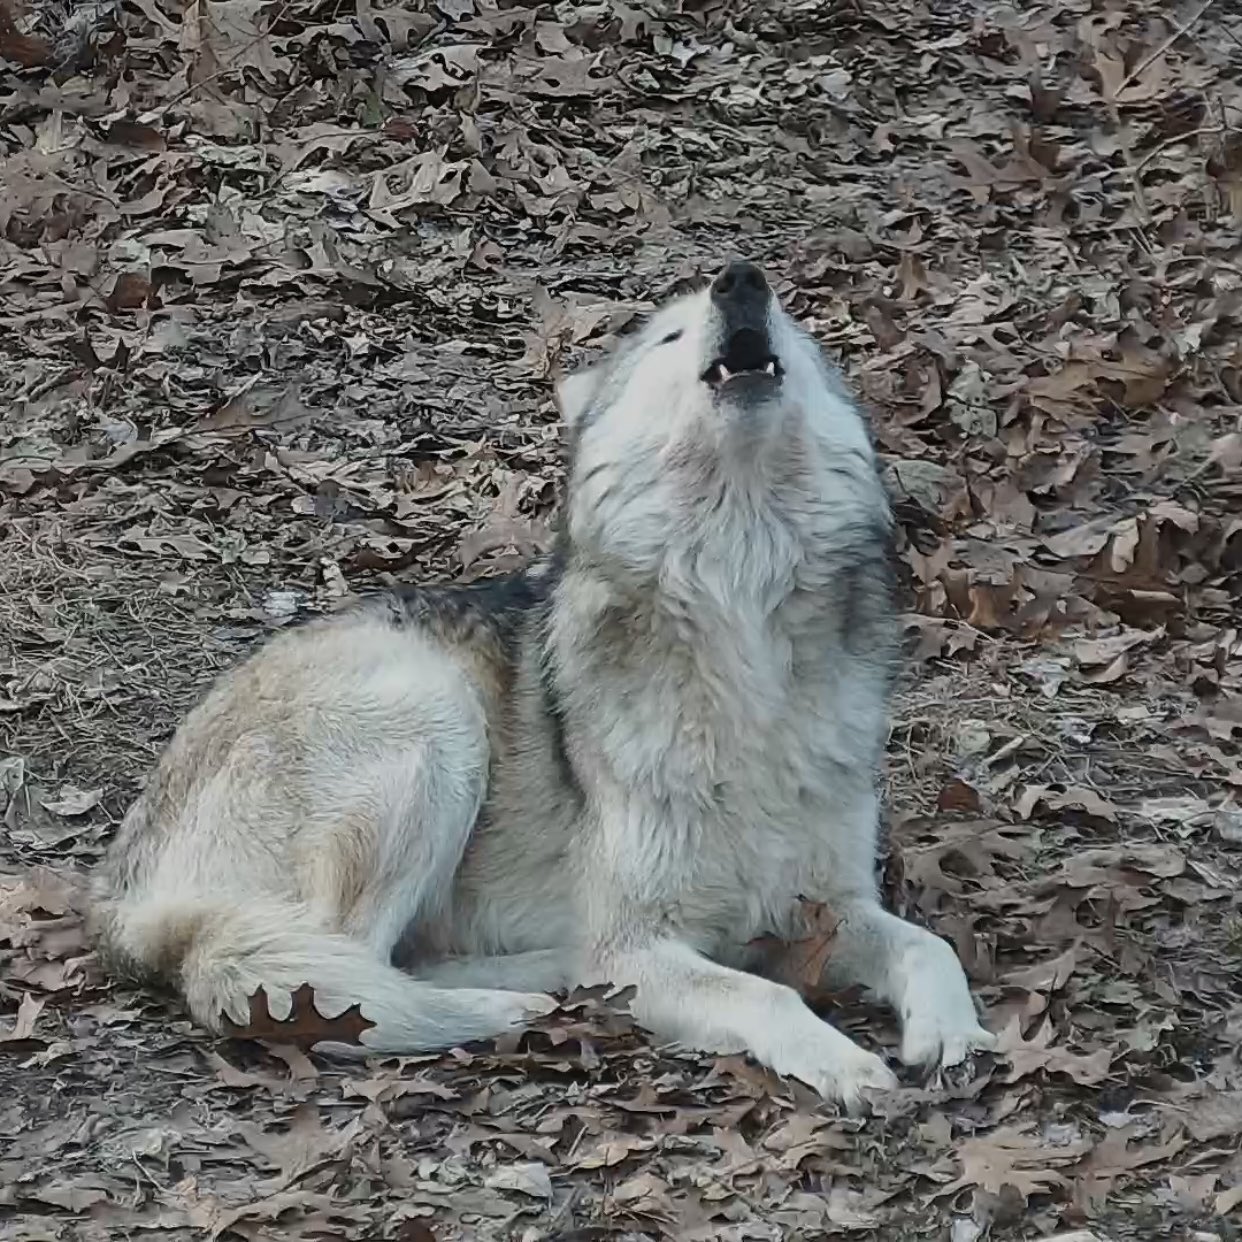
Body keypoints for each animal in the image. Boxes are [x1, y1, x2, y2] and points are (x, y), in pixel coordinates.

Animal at [91, 261, 994, 1108]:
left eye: (791, 324)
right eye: (668, 337)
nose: (741, 282)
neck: (742, 613)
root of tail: (119, 893)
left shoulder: (824, 905)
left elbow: (930, 946)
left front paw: (955, 1033)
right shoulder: (635, 942)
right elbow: (764, 994)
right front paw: (845, 1063)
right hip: (432, 719)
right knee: (328, 980)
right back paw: (516, 999)